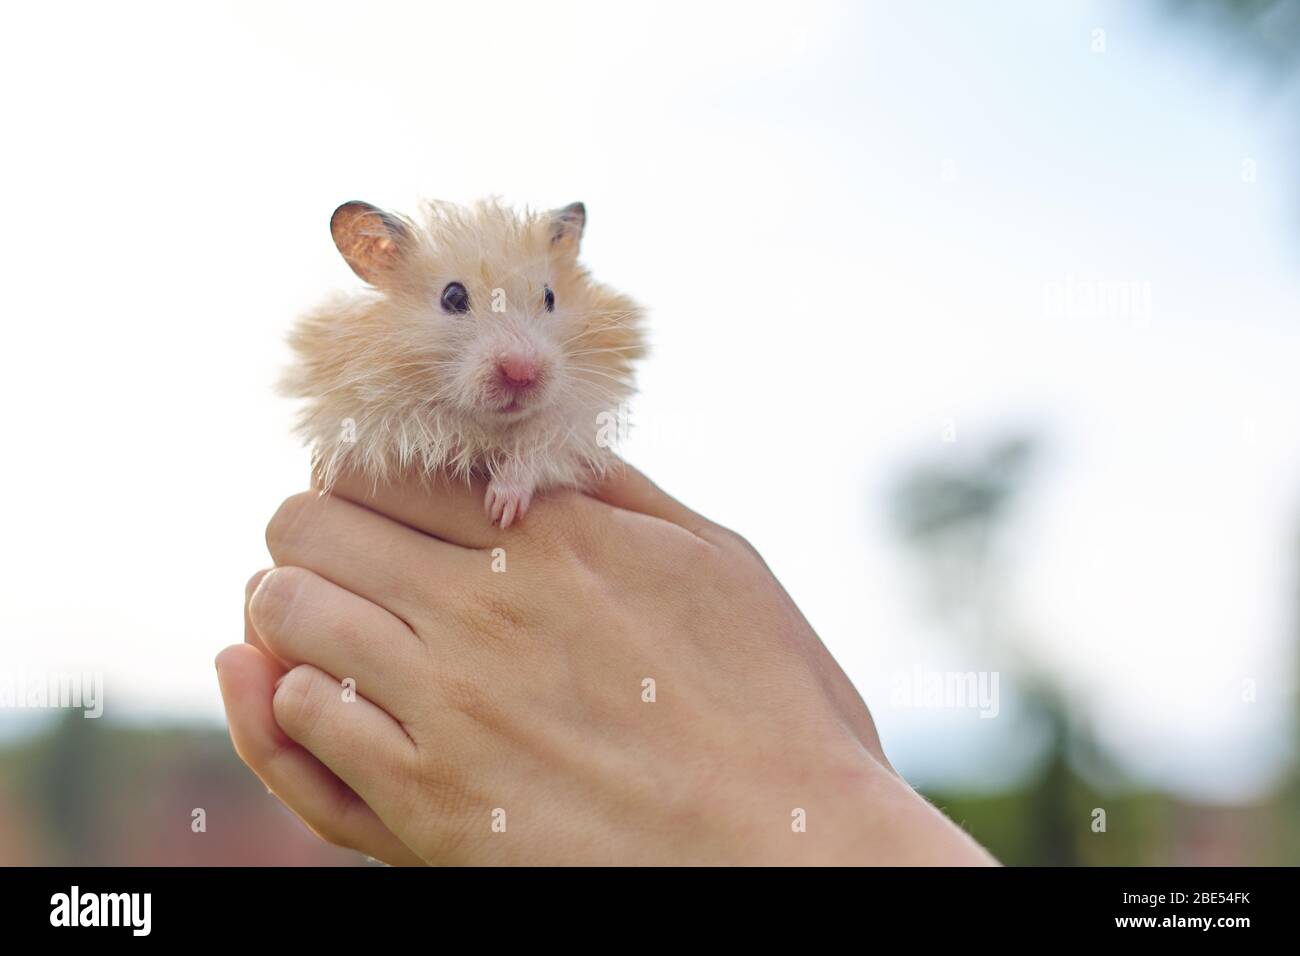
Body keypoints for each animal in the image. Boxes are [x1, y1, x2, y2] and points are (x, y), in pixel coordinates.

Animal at [281, 198, 647, 529]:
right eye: (453, 297)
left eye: (550, 297)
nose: (521, 373)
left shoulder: (574, 428)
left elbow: (537, 449)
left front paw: (501, 510)